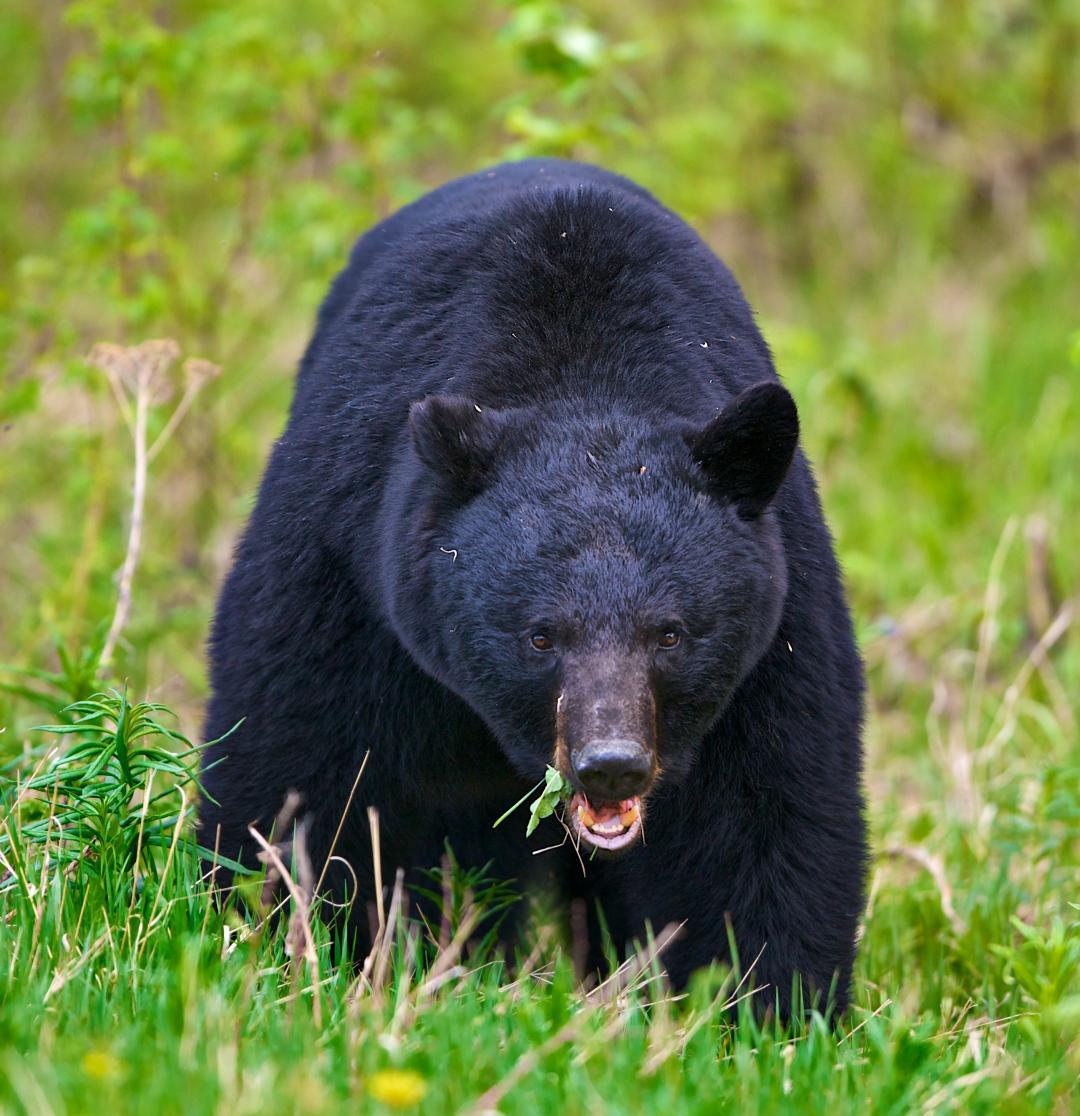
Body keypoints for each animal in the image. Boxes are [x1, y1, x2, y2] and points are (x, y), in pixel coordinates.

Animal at [199, 158, 867, 1020]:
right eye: (540, 634)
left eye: (671, 632)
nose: (610, 764)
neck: (583, 372)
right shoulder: (348, 576)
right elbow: (301, 771)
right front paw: (289, 949)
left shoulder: (774, 638)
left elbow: (762, 823)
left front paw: (765, 1010)